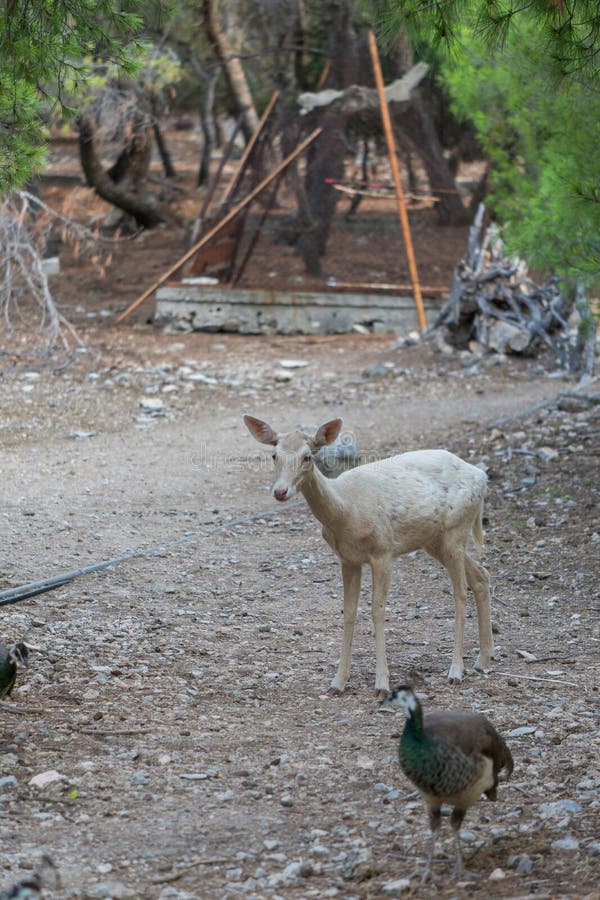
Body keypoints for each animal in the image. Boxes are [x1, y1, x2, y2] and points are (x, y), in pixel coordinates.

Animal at [243, 415, 494, 697]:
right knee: (481, 575)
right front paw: (337, 682)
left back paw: (456, 671)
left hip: (455, 531)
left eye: (308, 457)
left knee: (460, 592)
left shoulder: (383, 551)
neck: (347, 512)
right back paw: (483, 660)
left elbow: (377, 610)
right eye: (274, 455)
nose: (280, 491)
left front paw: (382, 684)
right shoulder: (348, 559)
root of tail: (481, 477)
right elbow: (349, 612)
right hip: (435, 540)